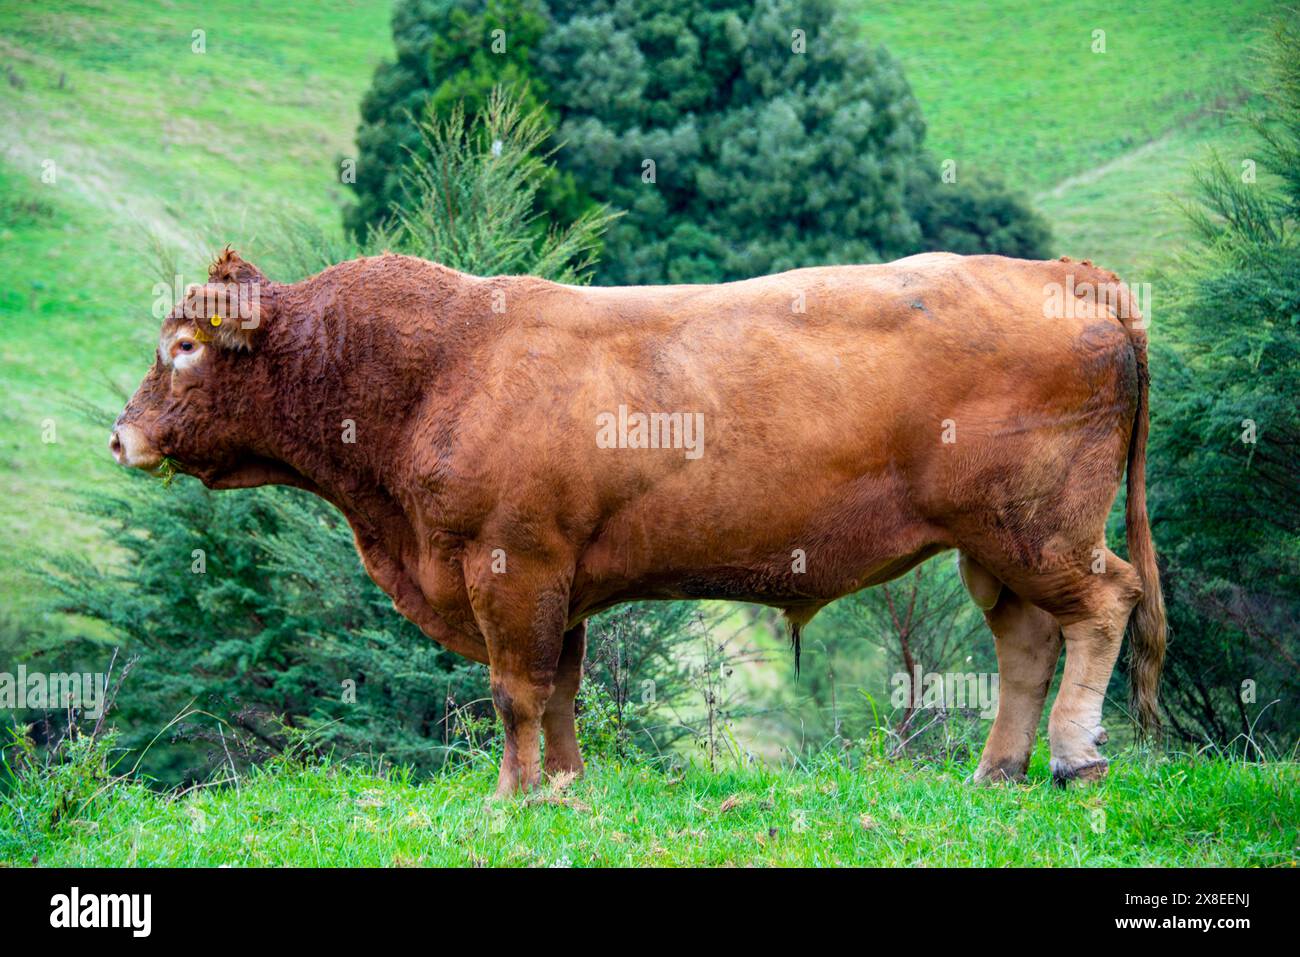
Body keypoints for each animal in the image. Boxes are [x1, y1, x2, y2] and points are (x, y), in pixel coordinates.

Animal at [111, 247, 1166, 796]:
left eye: (183, 346)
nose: (121, 436)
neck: (439, 367)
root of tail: (1065, 272)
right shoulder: (560, 583)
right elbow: (561, 691)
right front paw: (566, 787)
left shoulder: (513, 565)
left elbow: (516, 692)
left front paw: (511, 796)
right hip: (996, 546)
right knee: (1029, 643)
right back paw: (999, 770)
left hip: (1042, 528)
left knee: (1106, 605)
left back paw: (1075, 754)